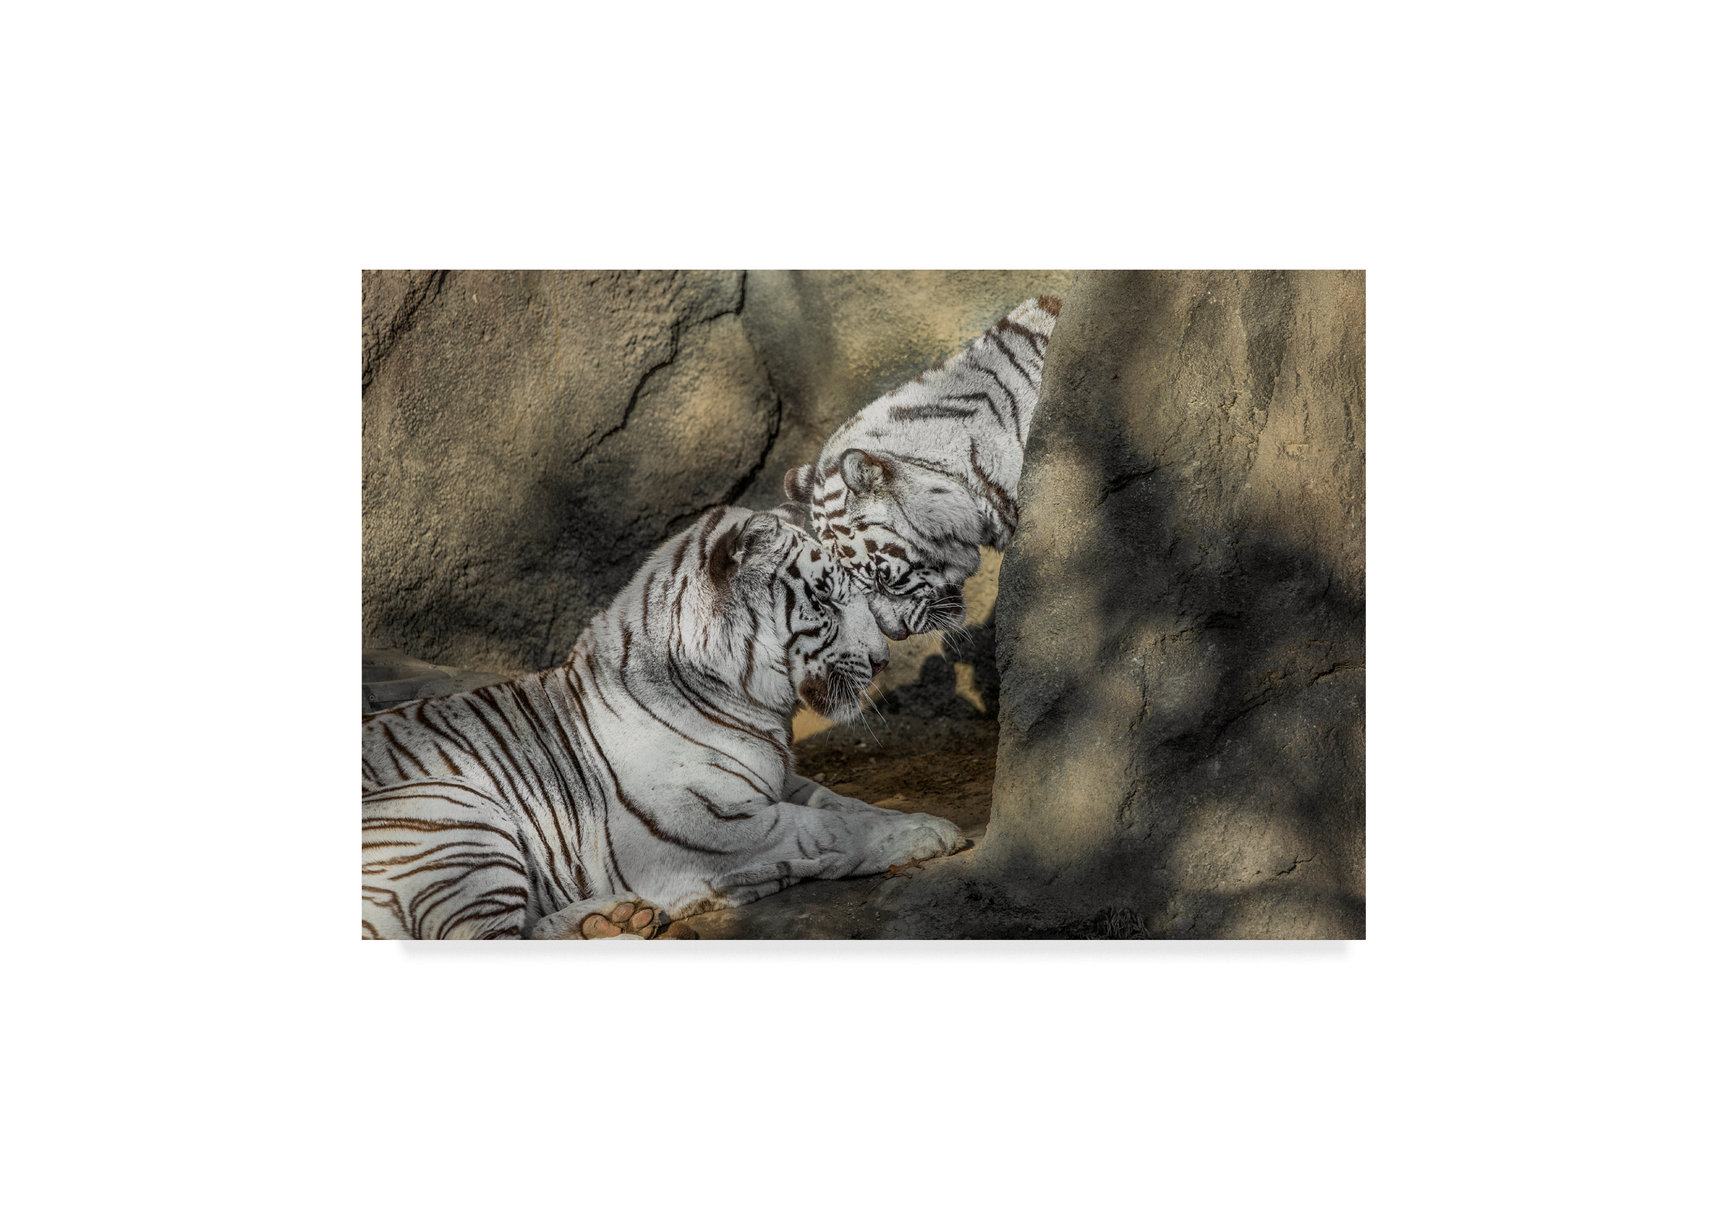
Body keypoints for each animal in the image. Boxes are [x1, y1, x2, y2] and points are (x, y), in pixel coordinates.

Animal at [362, 505, 967, 940]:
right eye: (824, 600)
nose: (883, 660)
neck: (753, 705)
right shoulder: (696, 828)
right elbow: (822, 828)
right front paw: (928, 833)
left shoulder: (778, 779)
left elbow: (842, 803)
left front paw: (915, 820)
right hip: (453, 814)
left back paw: (609, 920)